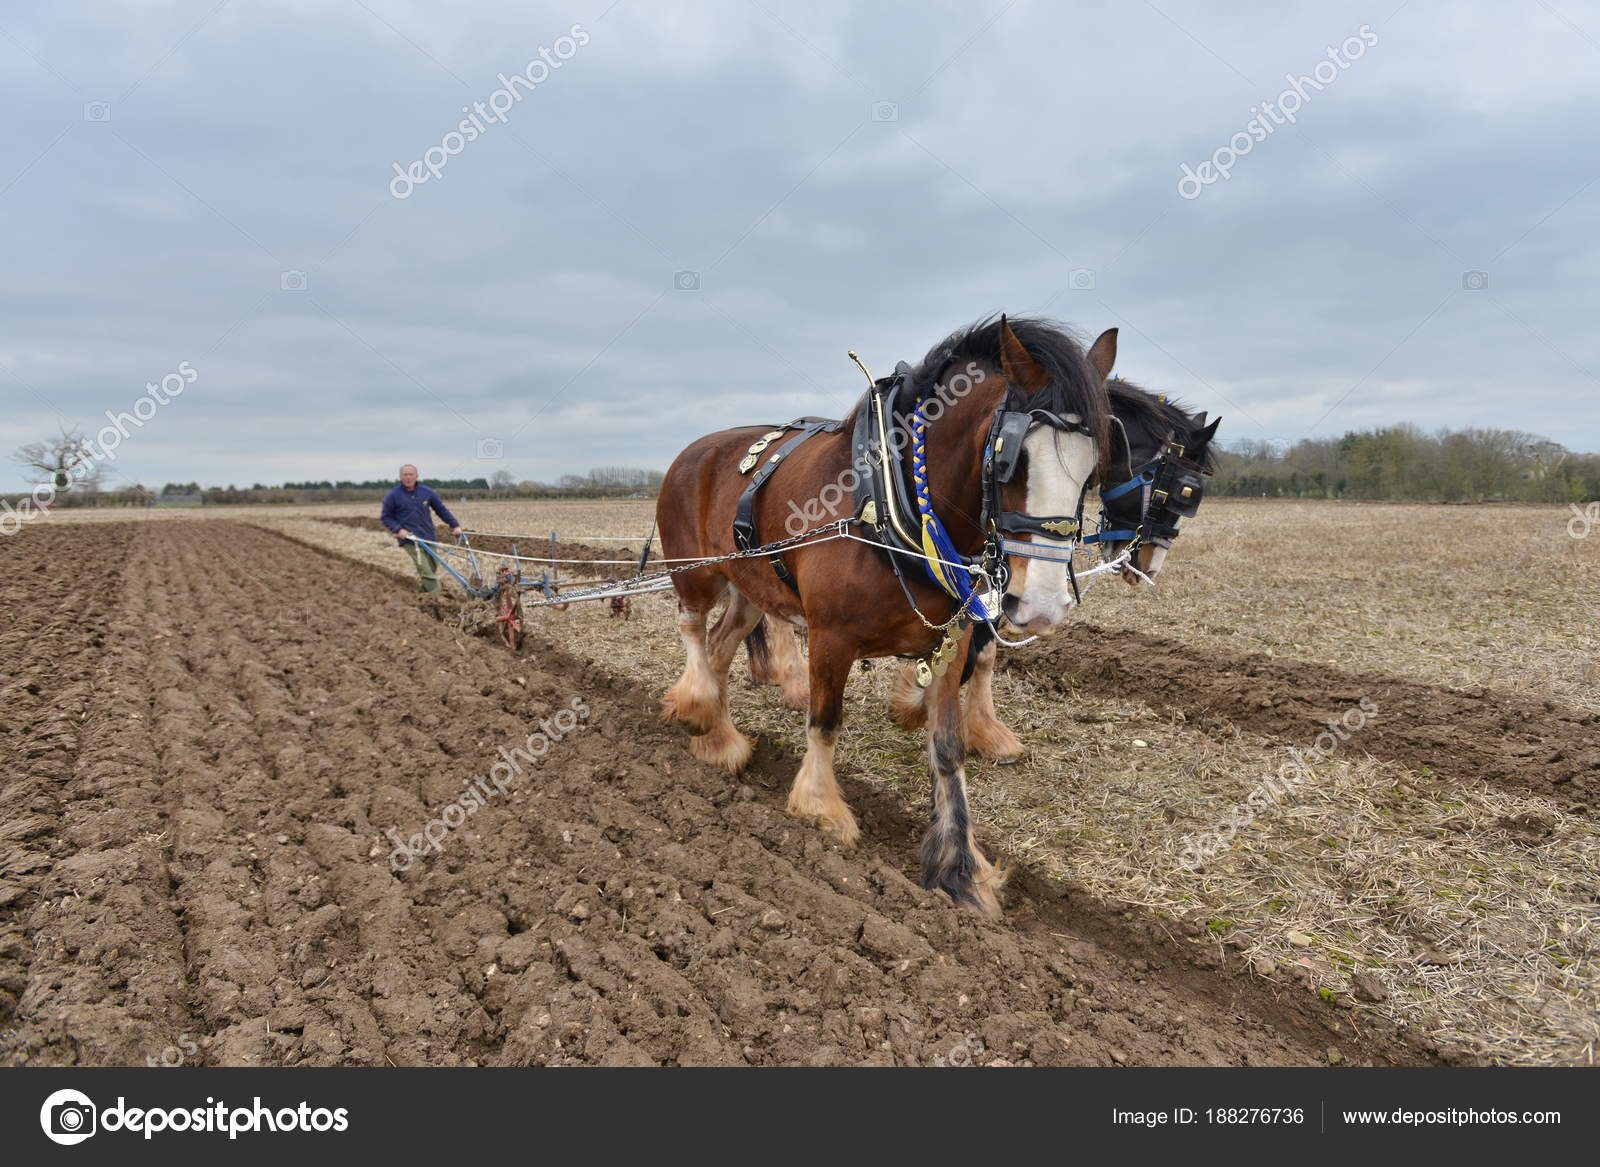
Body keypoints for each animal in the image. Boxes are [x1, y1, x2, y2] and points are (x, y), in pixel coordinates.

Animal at [656, 316, 1116, 914]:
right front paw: (820, 809)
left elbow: (947, 748)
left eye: (1095, 469)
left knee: (721, 642)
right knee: (692, 627)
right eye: (1009, 460)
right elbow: (825, 721)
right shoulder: (830, 637)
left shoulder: (951, 641)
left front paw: (960, 868)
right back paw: (698, 706)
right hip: (695, 572)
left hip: (750, 586)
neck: (894, 499)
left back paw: (716, 736)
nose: (1040, 606)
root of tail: (696, 446)